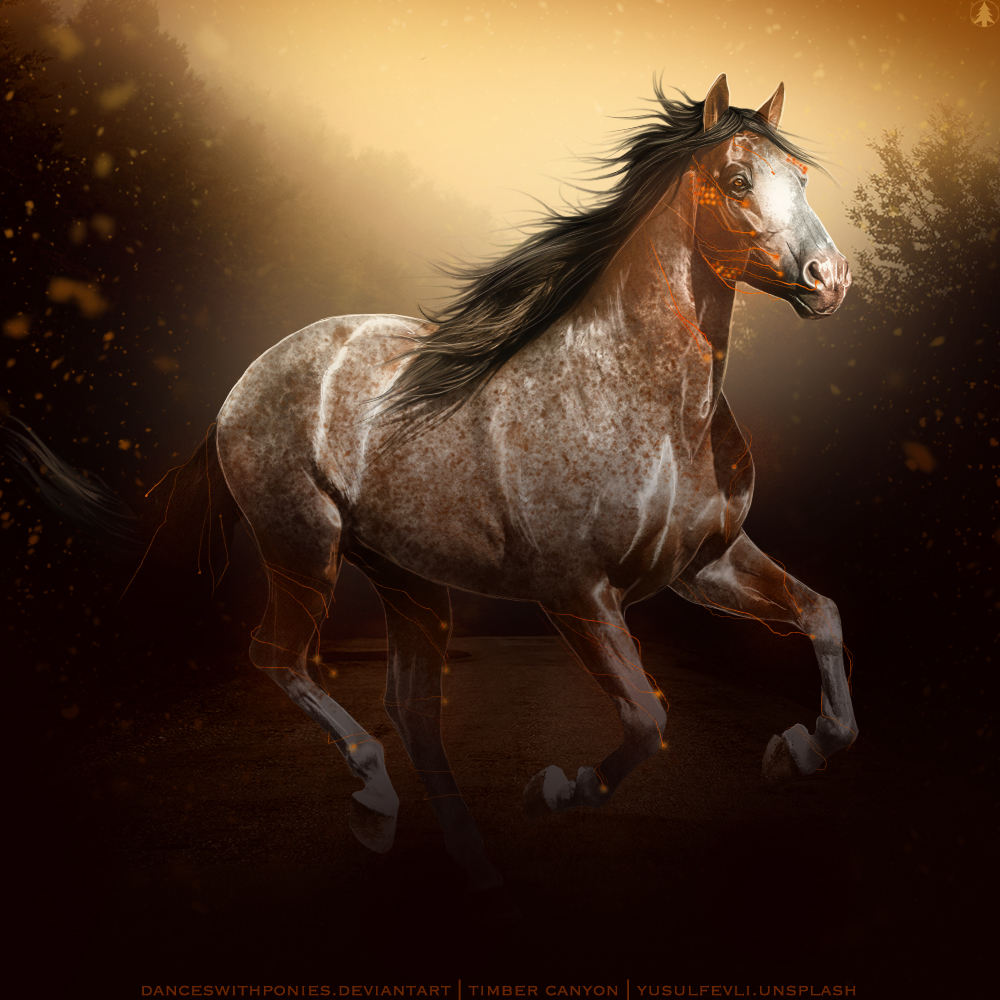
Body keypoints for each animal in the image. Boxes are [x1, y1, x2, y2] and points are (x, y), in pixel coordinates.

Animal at [15, 74, 857, 903]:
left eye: (801, 176)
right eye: (738, 180)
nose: (832, 280)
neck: (644, 403)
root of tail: (244, 383)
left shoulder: (703, 564)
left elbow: (821, 615)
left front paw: (793, 751)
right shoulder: (577, 592)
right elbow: (647, 717)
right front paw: (551, 789)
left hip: (408, 579)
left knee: (412, 708)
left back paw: (471, 865)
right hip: (303, 548)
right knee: (278, 657)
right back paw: (375, 801)